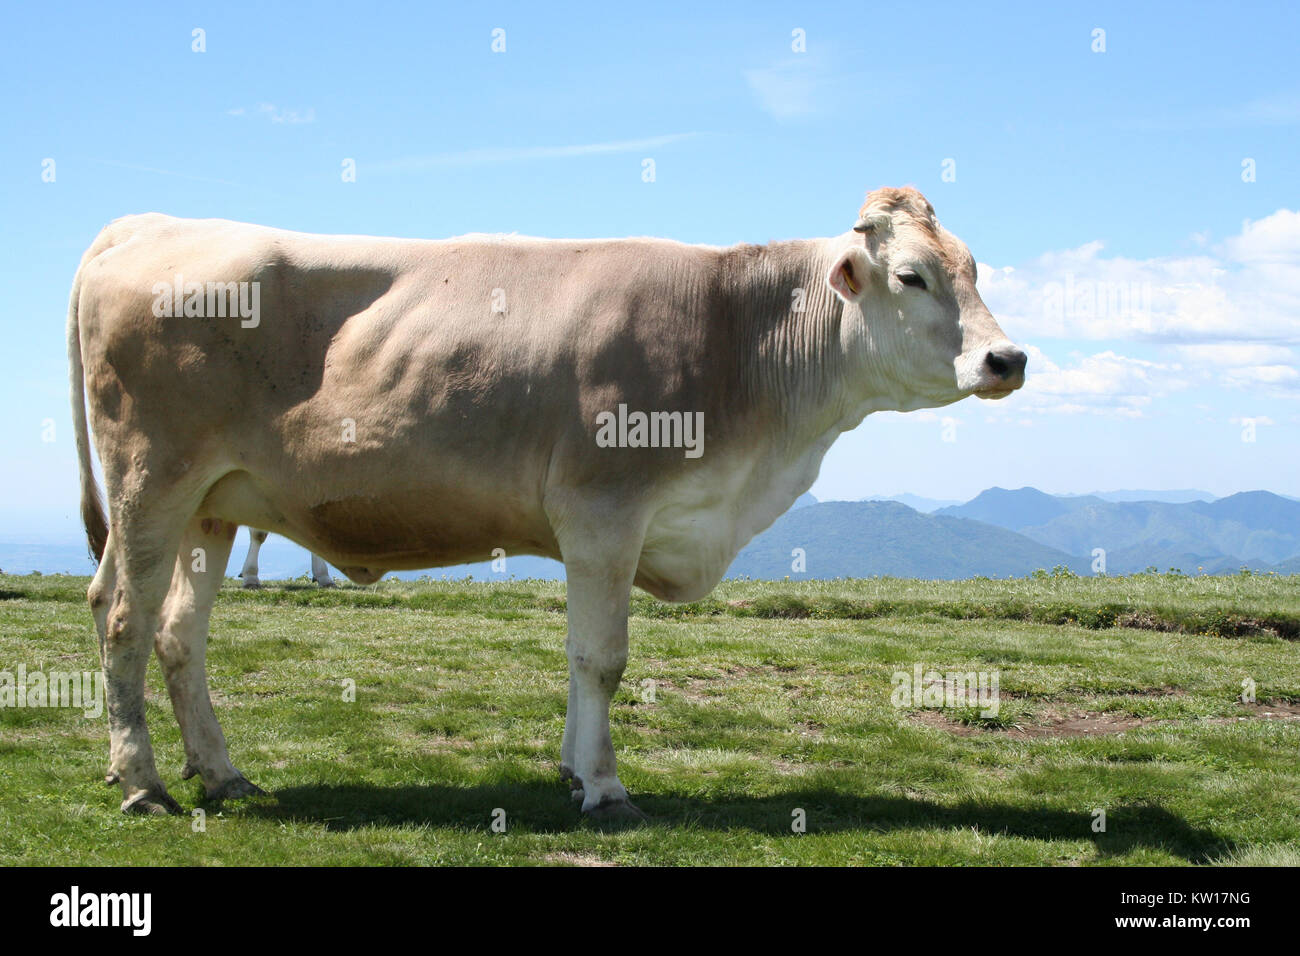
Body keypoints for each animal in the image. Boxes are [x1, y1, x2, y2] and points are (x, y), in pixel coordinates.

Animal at [68, 186, 1025, 819]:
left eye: (975, 269)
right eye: (912, 276)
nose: (1007, 359)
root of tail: (147, 224)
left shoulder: (599, 529)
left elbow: (574, 657)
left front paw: (571, 772)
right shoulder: (605, 508)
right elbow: (604, 659)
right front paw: (605, 787)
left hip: (213, 505)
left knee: (177, 632)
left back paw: (219, 773)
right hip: (151, 478)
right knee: (120, 616)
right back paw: (142, 783)